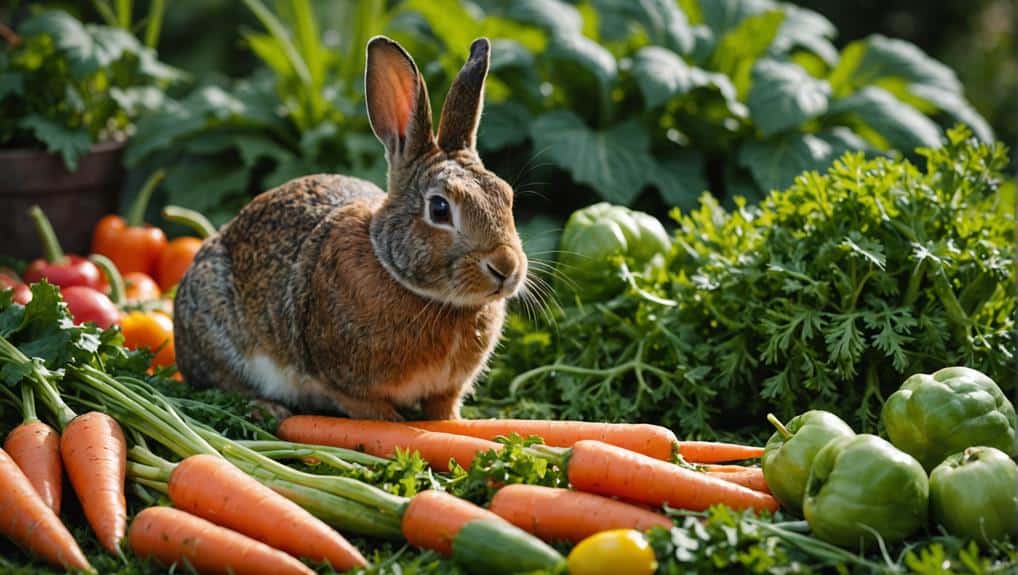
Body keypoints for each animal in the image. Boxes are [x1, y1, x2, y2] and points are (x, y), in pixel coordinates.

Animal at [173, 36, 526, 421]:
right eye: (439, 208)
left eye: (507, 196)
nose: (505, 267)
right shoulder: (341, 381)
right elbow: (374, 412)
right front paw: (395, 423)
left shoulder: (446, 389)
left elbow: (443, 411)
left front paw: (455, 423)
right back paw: (268, 409)